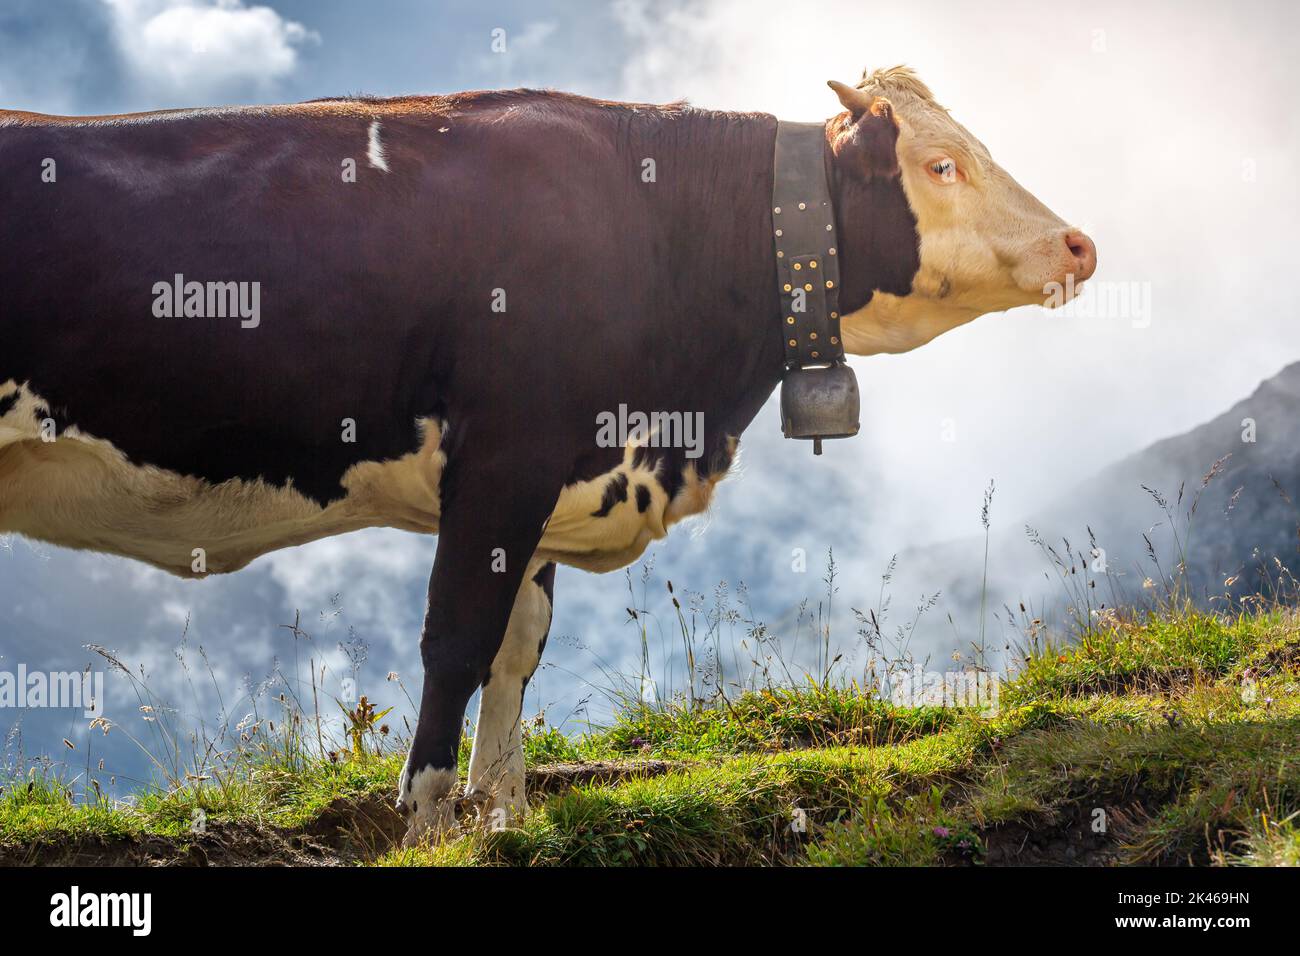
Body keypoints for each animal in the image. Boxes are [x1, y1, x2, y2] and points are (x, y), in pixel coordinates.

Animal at [0, 66, 1095, 845]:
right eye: (943, 165)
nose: (1079, 244)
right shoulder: (503, 459)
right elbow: (457, 640)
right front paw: (429, 822)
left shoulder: (547, 484)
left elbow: (518, 649)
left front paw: (505, 815)